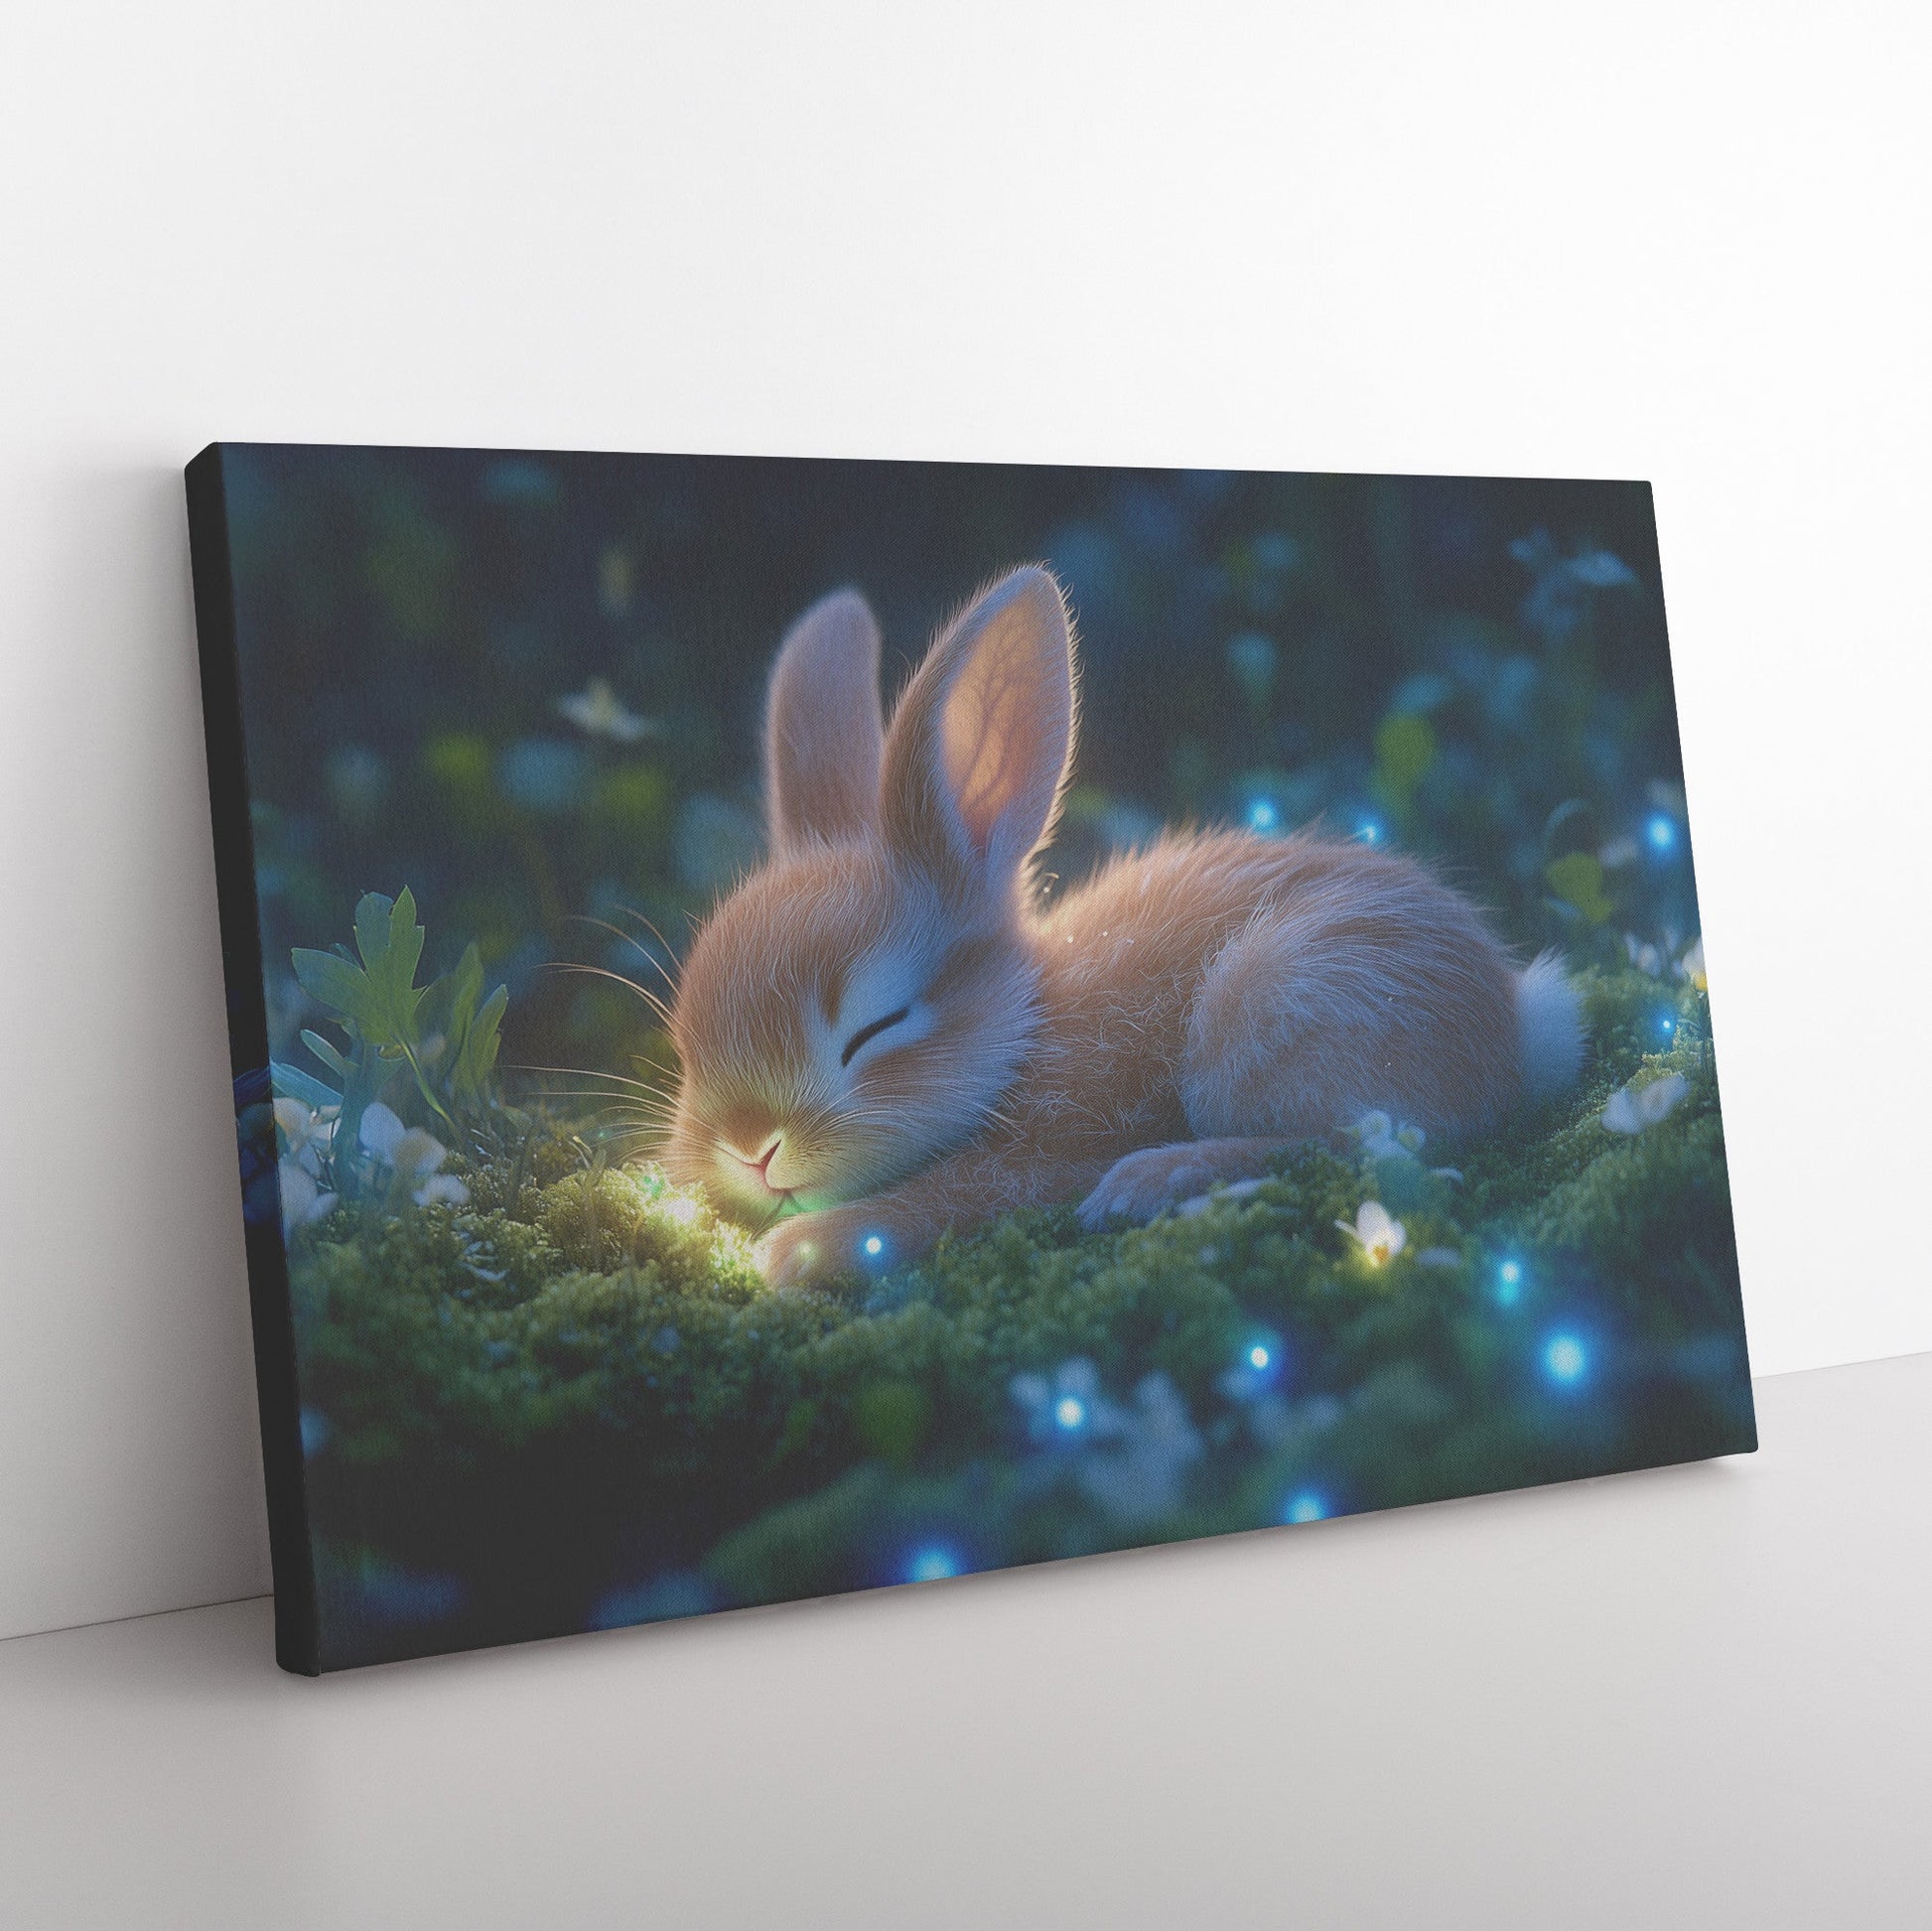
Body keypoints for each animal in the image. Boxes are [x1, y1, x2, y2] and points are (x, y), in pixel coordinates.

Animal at [661, 565, 1582, 1290]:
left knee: (1378, 1147)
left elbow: (953, 1194)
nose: (748, 1148)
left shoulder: (1057, 1140)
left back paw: (1152, 1178)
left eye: (876, 1027)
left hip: (1273, 1012)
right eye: (684, 1045)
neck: (1026, 1030)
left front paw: (797, 1251)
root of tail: (1518, 1026)